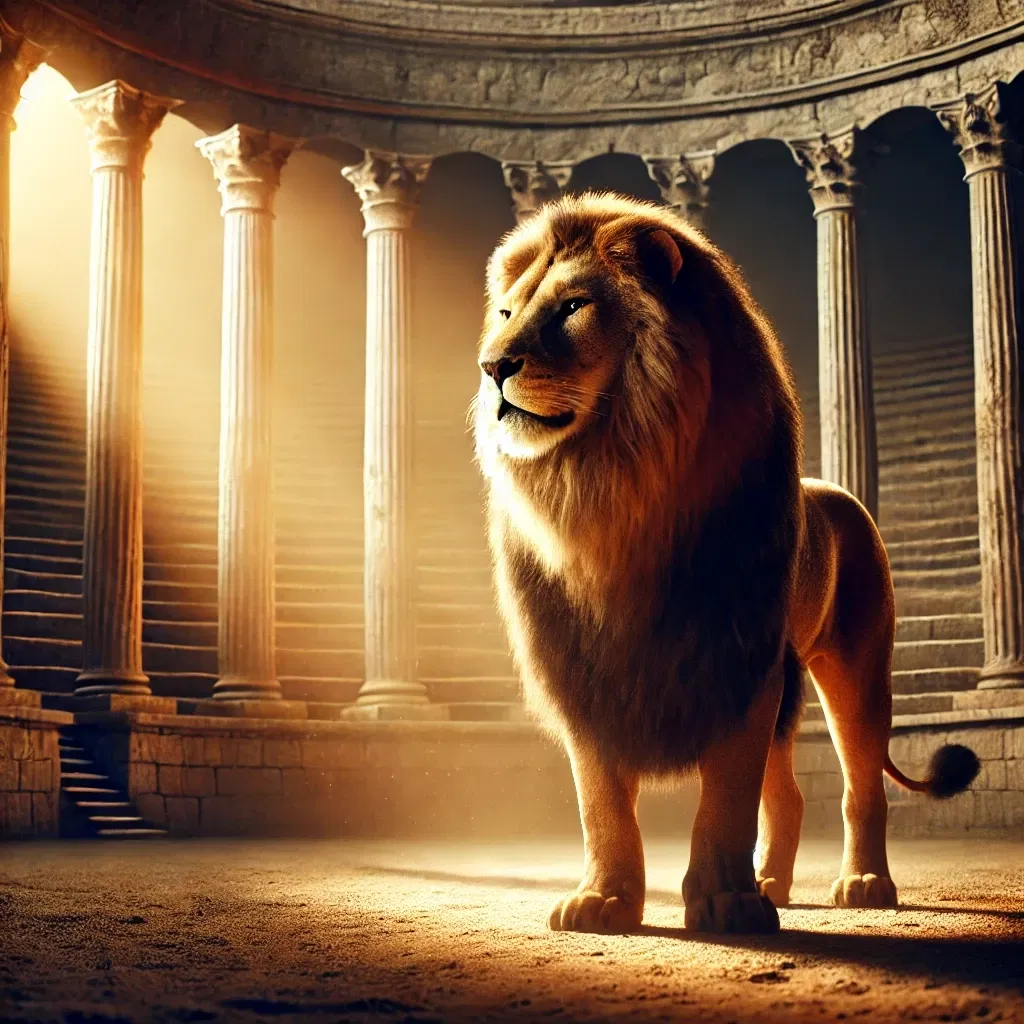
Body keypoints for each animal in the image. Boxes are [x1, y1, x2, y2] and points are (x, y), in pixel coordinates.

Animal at [472, 192, 980, 935]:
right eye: (507, 314)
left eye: (573, 307)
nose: (493, 366)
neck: (613, 492)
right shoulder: (584, 669)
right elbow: (601, 800)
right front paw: (605, 900)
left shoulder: (738, 655)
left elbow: (727, 800)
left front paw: (724, 902)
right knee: (791, 796)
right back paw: (774, 882)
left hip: (856, 670)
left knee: (861, 786)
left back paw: (862, 883)